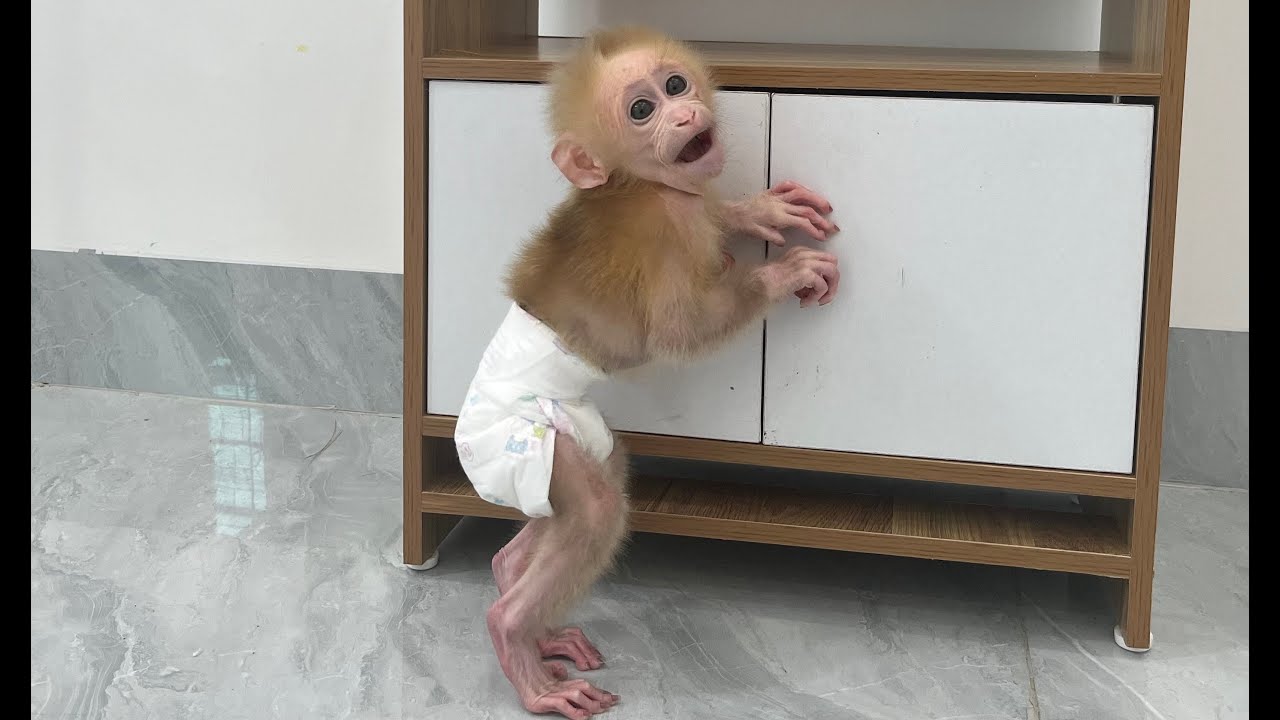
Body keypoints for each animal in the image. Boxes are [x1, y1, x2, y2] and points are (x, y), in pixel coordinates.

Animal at [452, 27, 840, 719]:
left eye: (675, 85)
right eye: (641, 110)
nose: (683, 115)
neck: (636, 183)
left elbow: (714, 211)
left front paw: (754, 212)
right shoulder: (667, 229)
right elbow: (678, 333)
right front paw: (783, 272)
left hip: (570, 431)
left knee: (593, 483)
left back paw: (517, 588)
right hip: (515, 443)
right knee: (594, 508)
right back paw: (516, 640)